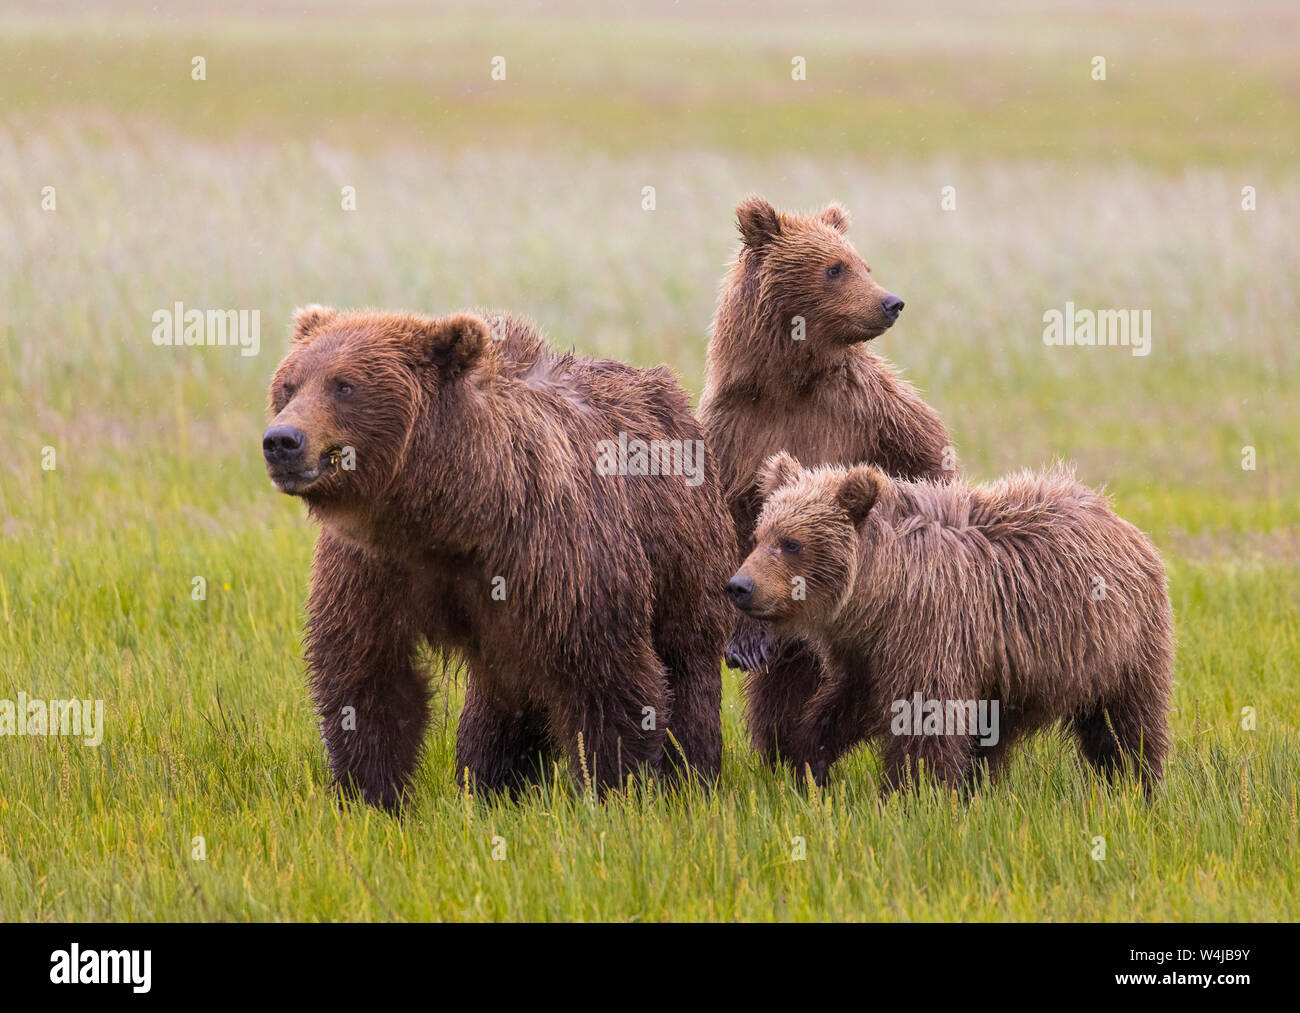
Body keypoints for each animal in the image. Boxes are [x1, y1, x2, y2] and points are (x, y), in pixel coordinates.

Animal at [263, 306, 735, 811]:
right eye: (289, 384)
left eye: (345, 385)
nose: (282, 440)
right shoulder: (371, 566)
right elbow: (367, 672)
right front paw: (371, 795)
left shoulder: (555, 554)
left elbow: (605, 674)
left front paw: (615, 789)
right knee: (503, 697)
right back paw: (495, 784)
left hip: (682, 553)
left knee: (687, 662)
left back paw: (692, 774)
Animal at [697, 196, 955, 770]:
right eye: (834, 268)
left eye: (863, 264)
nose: (891, 302)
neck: (790, 382)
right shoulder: (733, 432)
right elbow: (732, 523)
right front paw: (744, 642)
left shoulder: (869, 410)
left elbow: (928, 458)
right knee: (779, 692)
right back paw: (784, 754)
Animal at [727, 452, 1173, 795]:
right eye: (760, 535)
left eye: (792, 543)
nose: (740, 586)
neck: (881, 594)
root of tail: (1120, 519)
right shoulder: (865, 651)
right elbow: (843, 705)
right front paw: (808, 763)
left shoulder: (933, 630)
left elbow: (926, 718)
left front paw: (912, 794)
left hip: (1119, 644)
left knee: (1125, 721)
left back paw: (1136, 782)